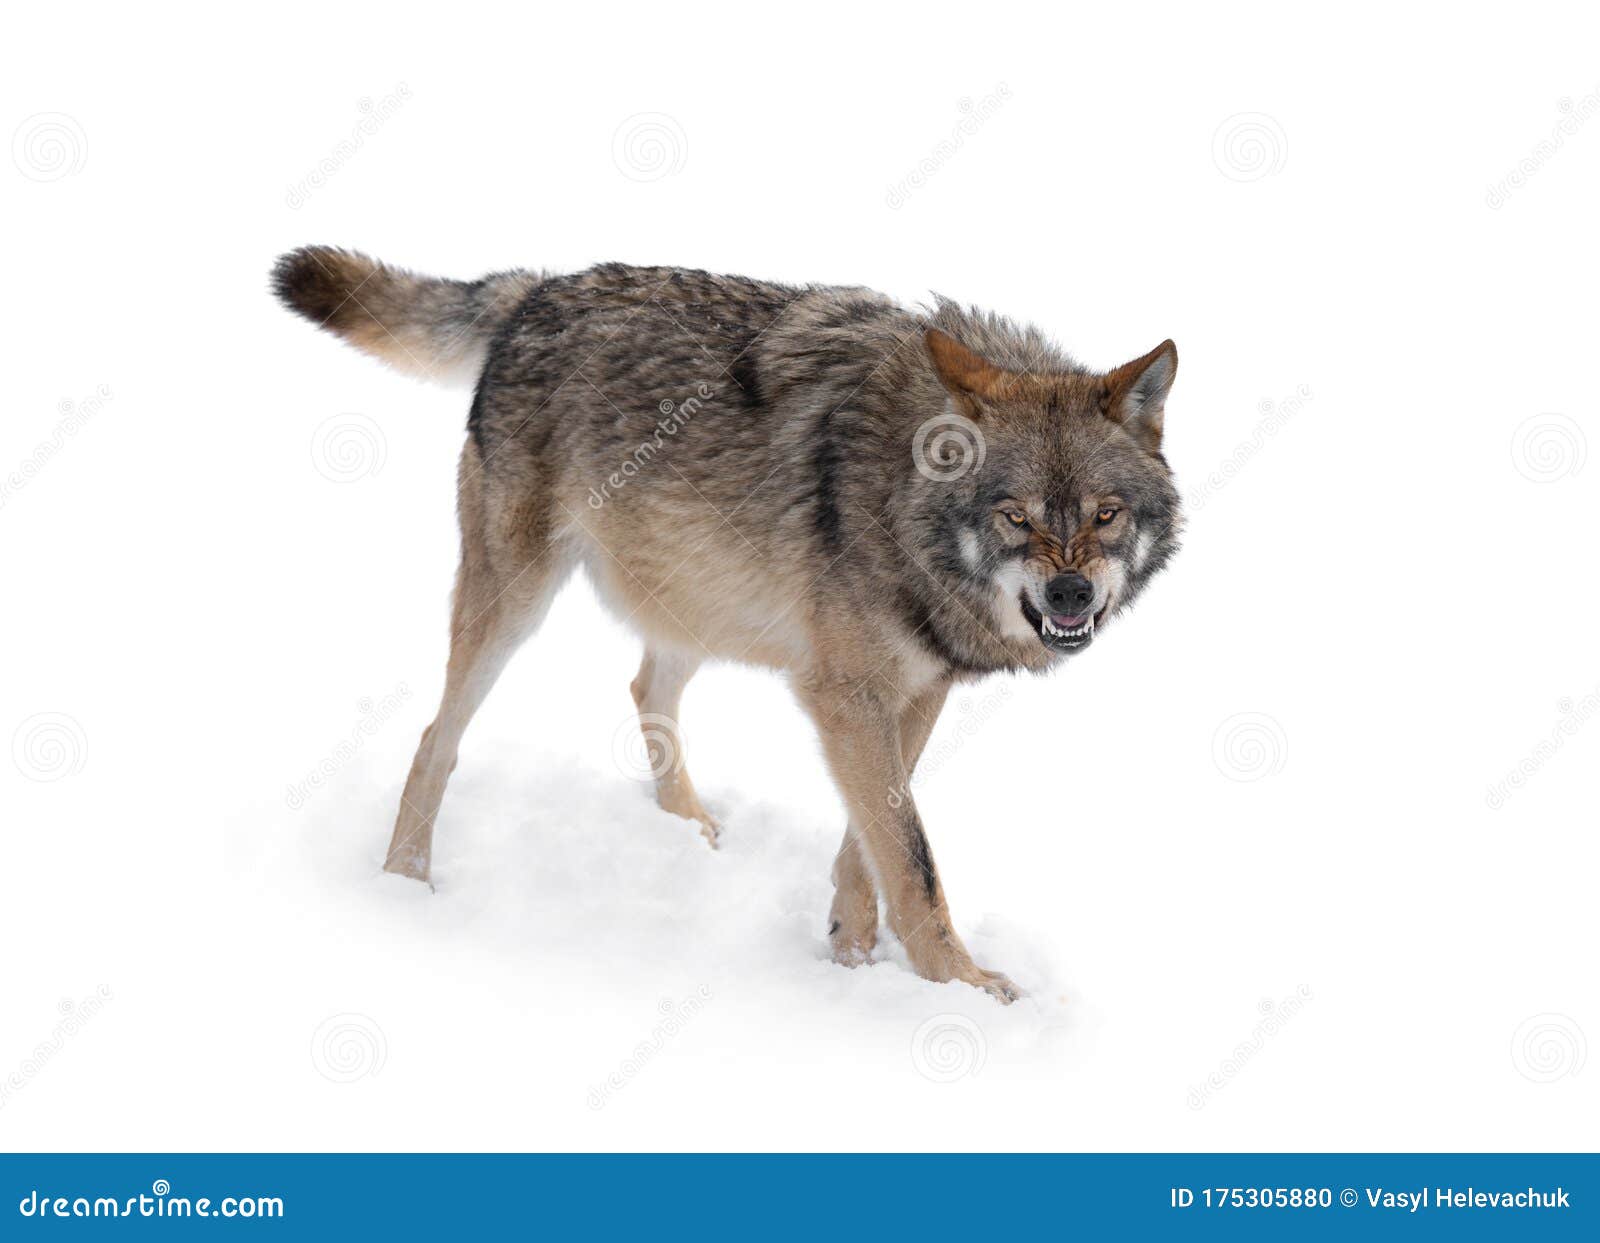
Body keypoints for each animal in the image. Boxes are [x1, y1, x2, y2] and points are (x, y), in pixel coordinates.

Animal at [273, 248, 1183, 1002]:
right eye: (1015, 516)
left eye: (1105, 514)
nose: (1071, 595)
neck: (904, 491)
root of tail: (539, 288)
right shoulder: (844, 695)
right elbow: (910, 856)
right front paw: (960, 986)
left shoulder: (913, 694)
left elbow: (871, 841)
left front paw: (851, 956)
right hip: (518, 601)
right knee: (438, 735)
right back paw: (406, 882)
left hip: (696, 598)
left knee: (643, 684)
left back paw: (688, 827)